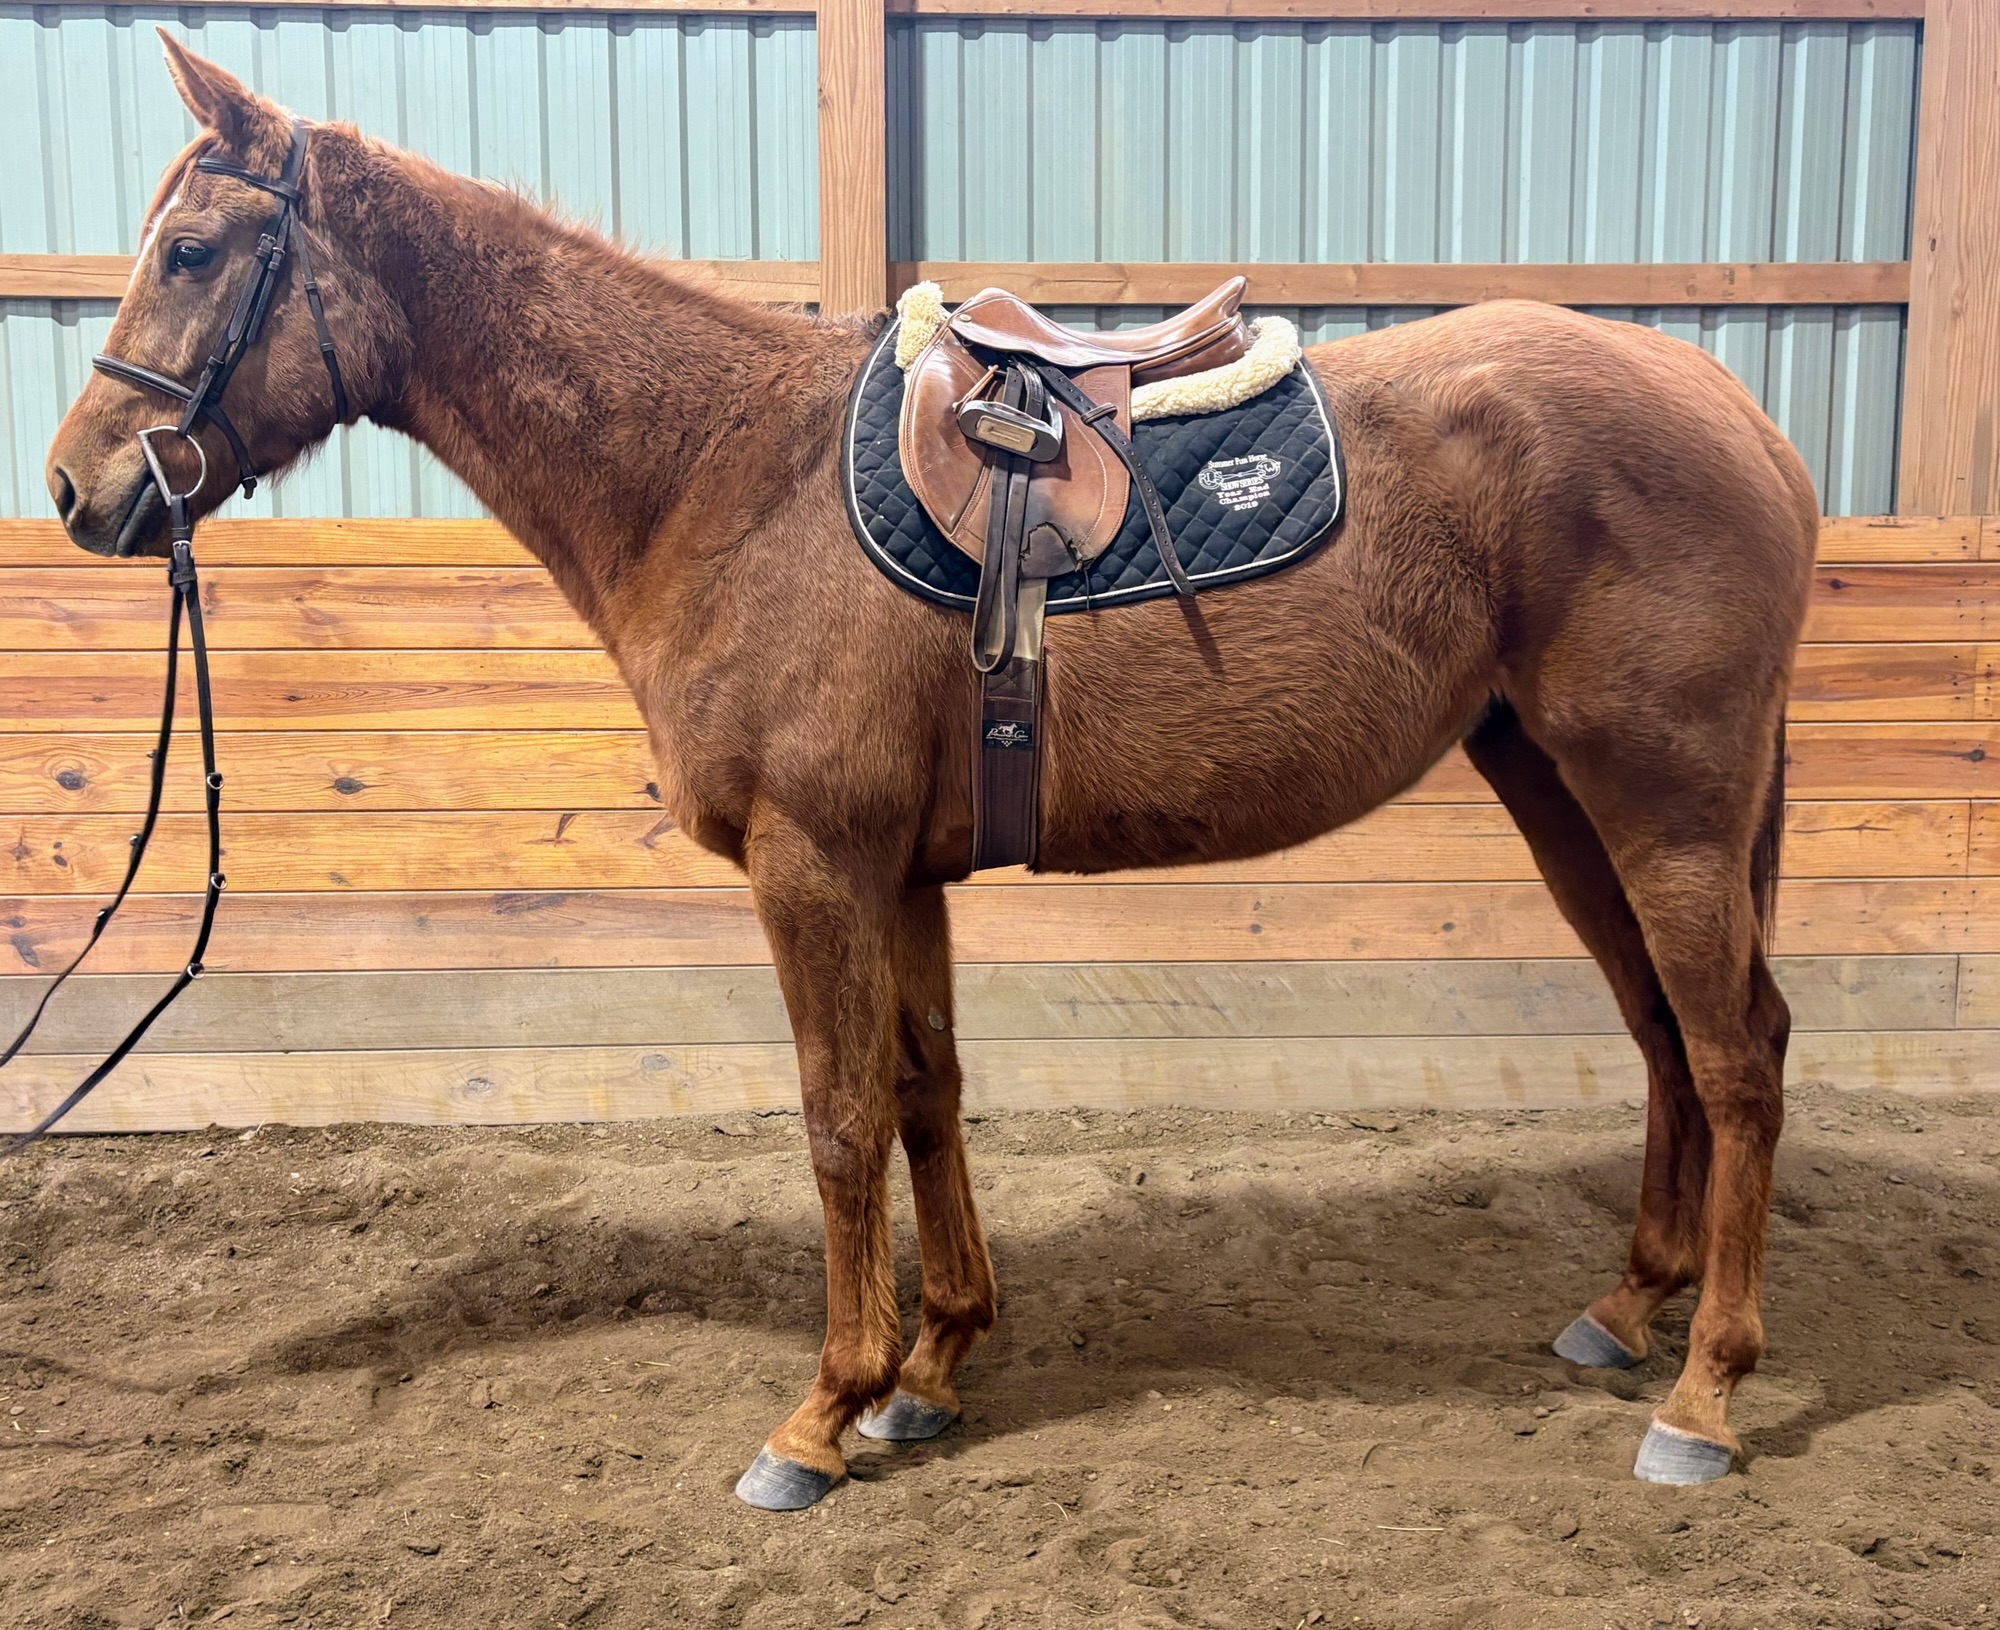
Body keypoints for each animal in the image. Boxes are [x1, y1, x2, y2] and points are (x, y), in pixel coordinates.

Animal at [44, 36, 1815, 1509]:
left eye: (193, 253)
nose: (72, 487)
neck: (719, 474)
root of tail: (1740, 410)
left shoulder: (811, 862)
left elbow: (837, 1121)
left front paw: (824, 1410)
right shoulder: (896, 872)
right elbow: (924, 1092)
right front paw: (939, 1358)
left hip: (1661, 802)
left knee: (1736, 1053)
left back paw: (1708, 1391)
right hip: (1564, 793)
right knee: (1664, 1031)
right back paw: (1628, 1308)